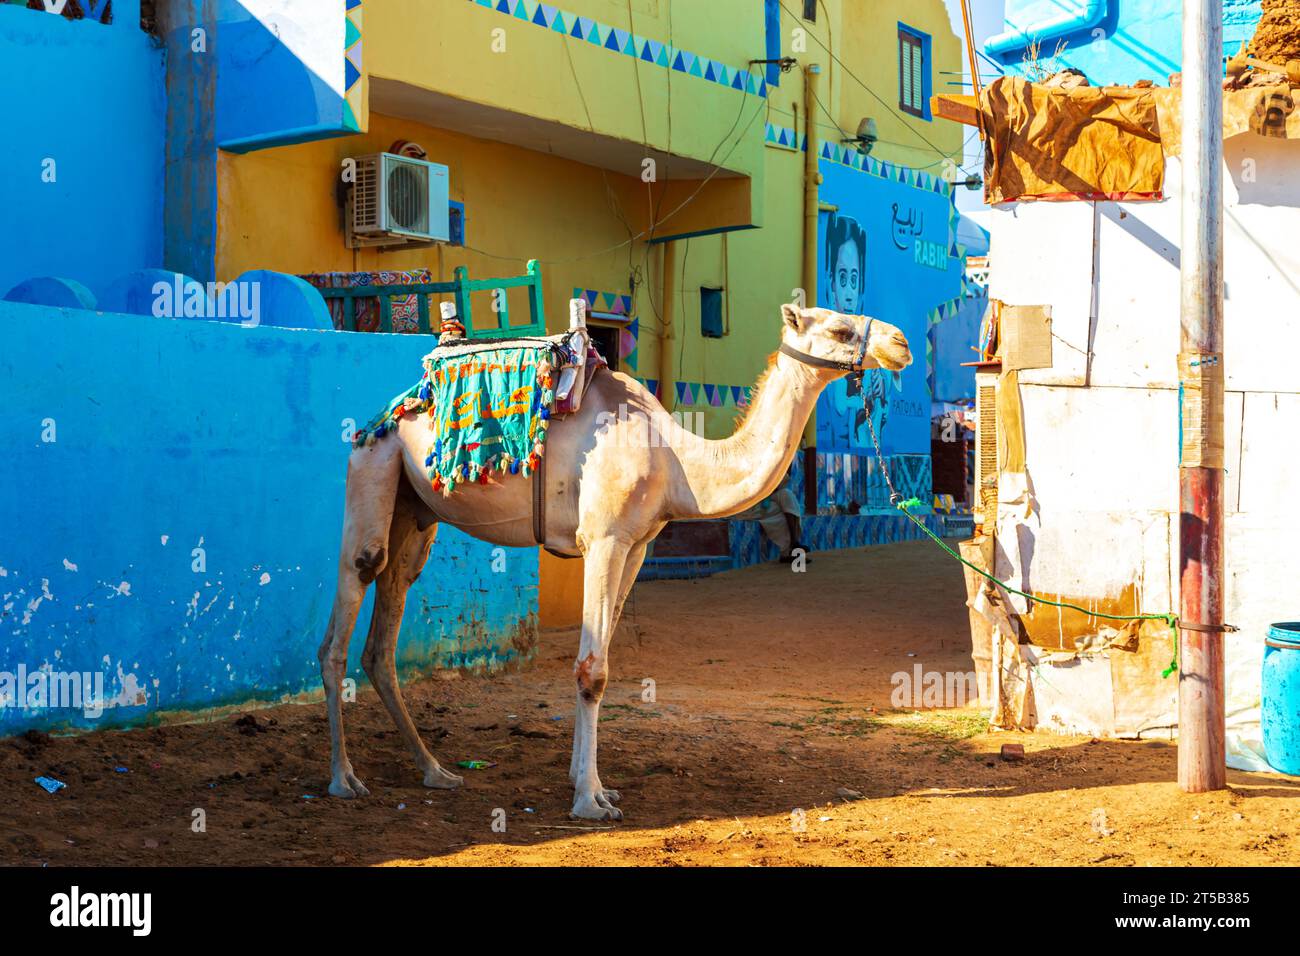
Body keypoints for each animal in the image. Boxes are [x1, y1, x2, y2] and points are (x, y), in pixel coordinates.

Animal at [317, 302, 912, 820]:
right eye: (839, 329)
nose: (901, 343)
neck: (679, 466)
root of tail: (379, 418)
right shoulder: (602, 538)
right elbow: (591, 671)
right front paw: (588, 802)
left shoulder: (637, 545)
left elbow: (600, 660)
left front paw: (593, 786)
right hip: (373, 465)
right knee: (351, 599)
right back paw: (344, 778)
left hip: (416, 512)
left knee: (385, 628)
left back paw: (435, 770)